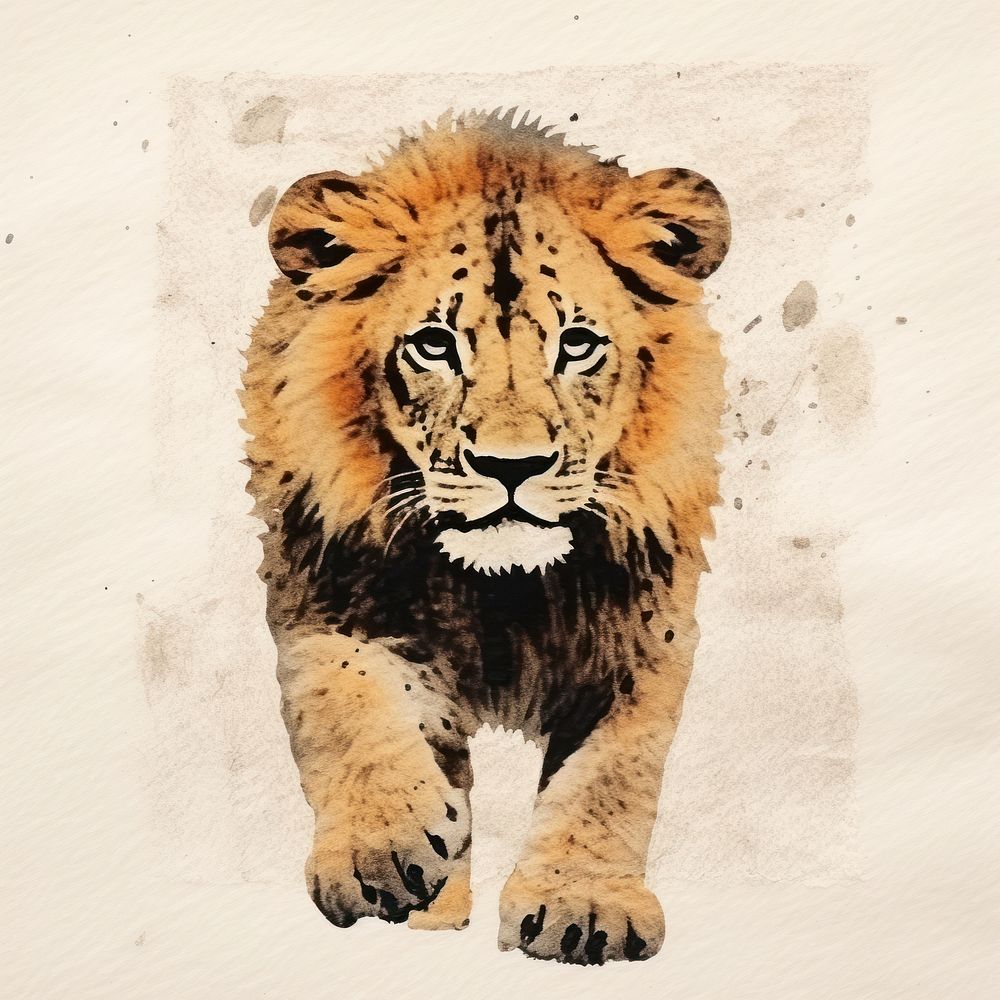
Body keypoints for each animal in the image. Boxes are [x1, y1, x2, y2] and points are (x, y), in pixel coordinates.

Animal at [240, 109, 729, 964]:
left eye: (577, 344)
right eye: (435, 344)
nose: (512, 466)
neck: (502, 595)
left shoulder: (647, 630)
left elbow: (611, 773)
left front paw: (584, 906)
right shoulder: (322, 587)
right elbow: (346, 698)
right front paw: (382, 851)